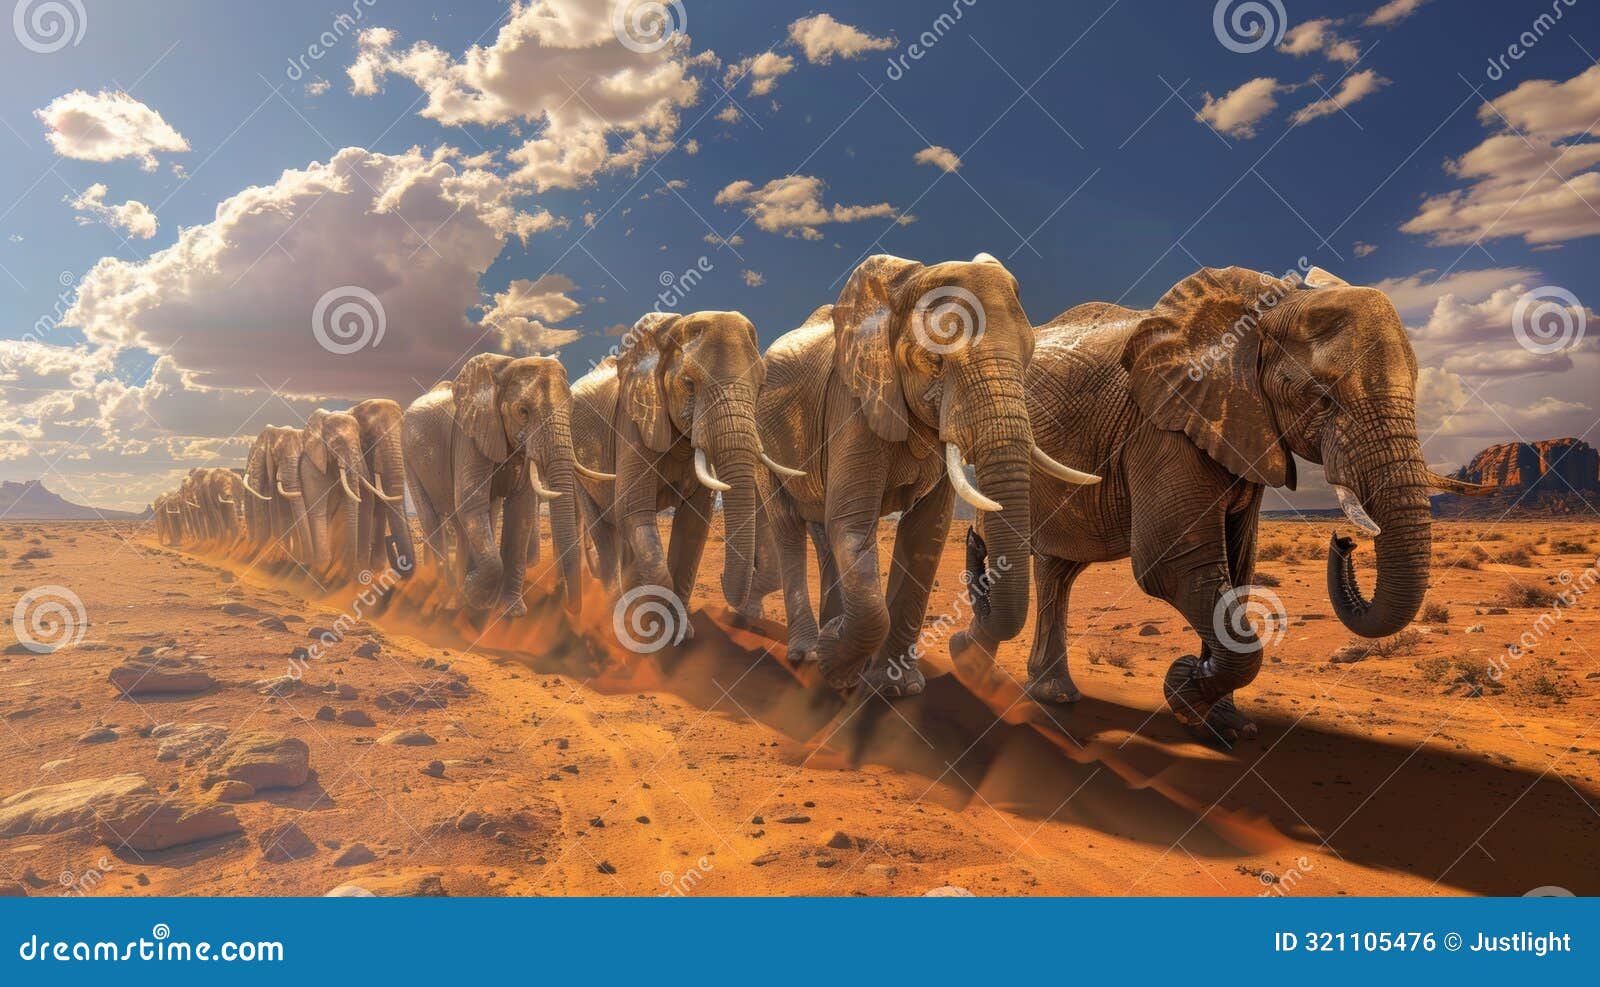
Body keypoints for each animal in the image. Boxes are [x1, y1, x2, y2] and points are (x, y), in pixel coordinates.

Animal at [403, 354, 603, 616]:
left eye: (570, 409)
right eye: (522, 411)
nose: (570, 610)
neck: (505, 367)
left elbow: (521, 510)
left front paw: (511, 611)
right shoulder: (469, 436)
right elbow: (471, 503)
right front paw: (474, 595)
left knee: (467, 520)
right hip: (408, 459)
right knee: (432, 519)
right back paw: (445, 595)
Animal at [570, 310, 802, 619]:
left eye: (761, 386)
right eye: (690, 384)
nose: (722, 580)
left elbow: (693, 524)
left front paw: (677, 623)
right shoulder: (633, 421)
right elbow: (633, 510)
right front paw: (660, 623)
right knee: (604, 528)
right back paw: (613, 605)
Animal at [753, 253, 1099, 696]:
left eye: (1027, 356)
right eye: (934, 362)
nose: (976, 541)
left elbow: (926, 532)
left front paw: (893, 686)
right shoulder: (853, 401)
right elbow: (851, 522)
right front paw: (836, 663)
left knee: (823, 534)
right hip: (765, 442)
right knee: (789, 528)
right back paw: (807, 652)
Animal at [983, 265, 1488, 746]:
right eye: (1323, 398)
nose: (1343, 540)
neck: (1266, 313)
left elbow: (1238, 568)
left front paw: (1224, 723)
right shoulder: (1163, 428)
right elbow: (1173, 565)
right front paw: (1184, 692)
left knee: (1058, 567)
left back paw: (1053, 694)